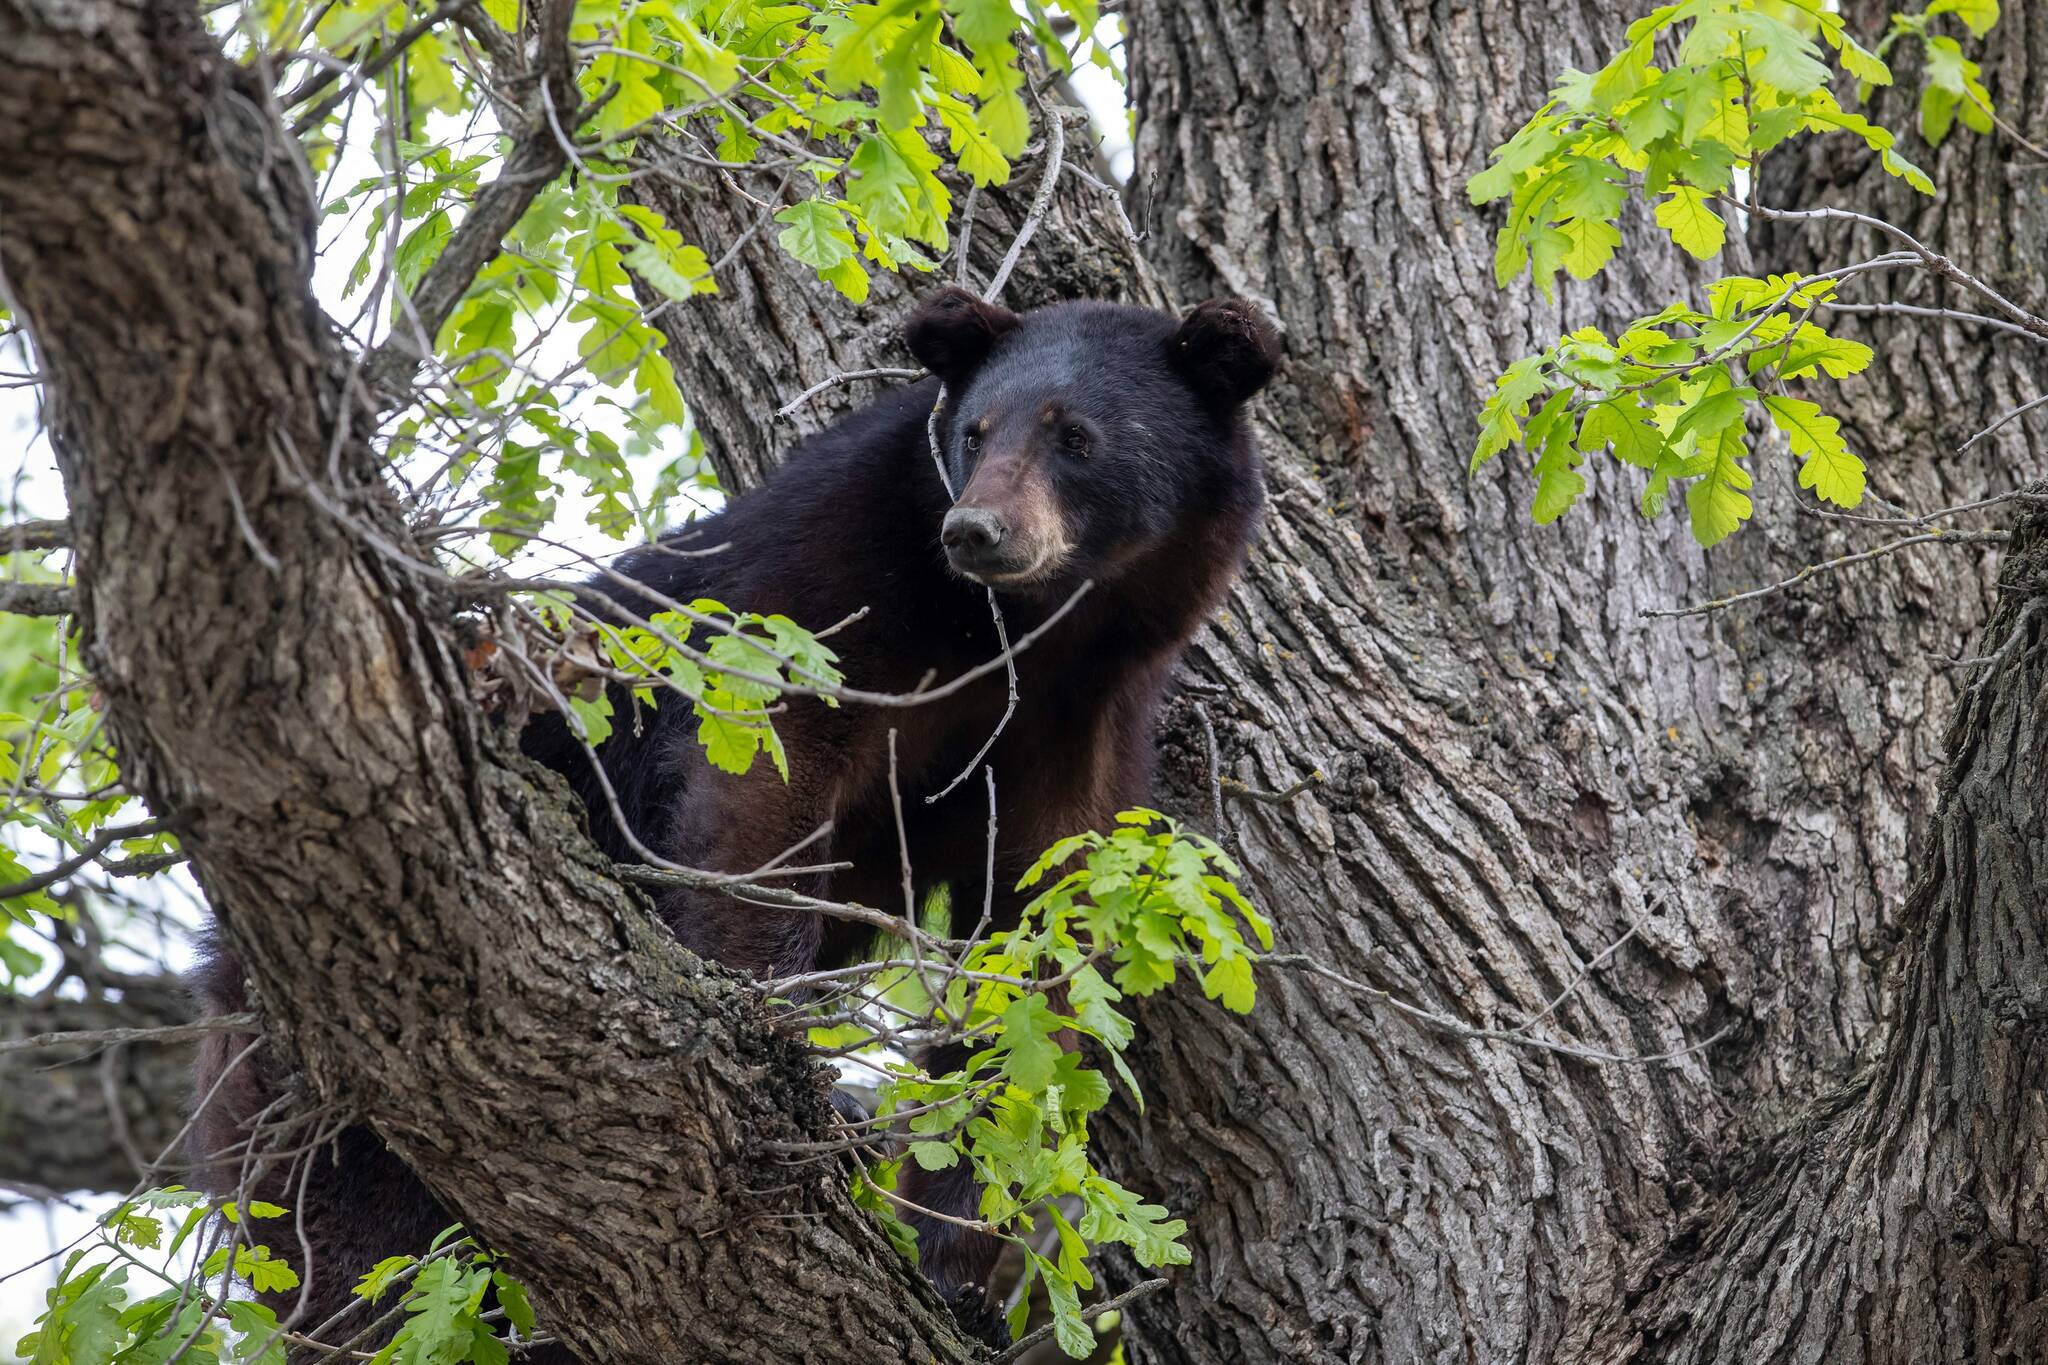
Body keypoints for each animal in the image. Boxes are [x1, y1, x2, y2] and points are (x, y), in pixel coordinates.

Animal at [188, 285, 1279, 1351]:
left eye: (1077, 436)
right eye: (974, 431)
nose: (977, 530)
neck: (1014, 633)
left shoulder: (1081, 726)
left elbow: (1033, 957)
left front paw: (961, 1267)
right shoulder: (831, 583)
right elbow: (764, 789)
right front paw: (786, 1066)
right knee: (364, 1232)